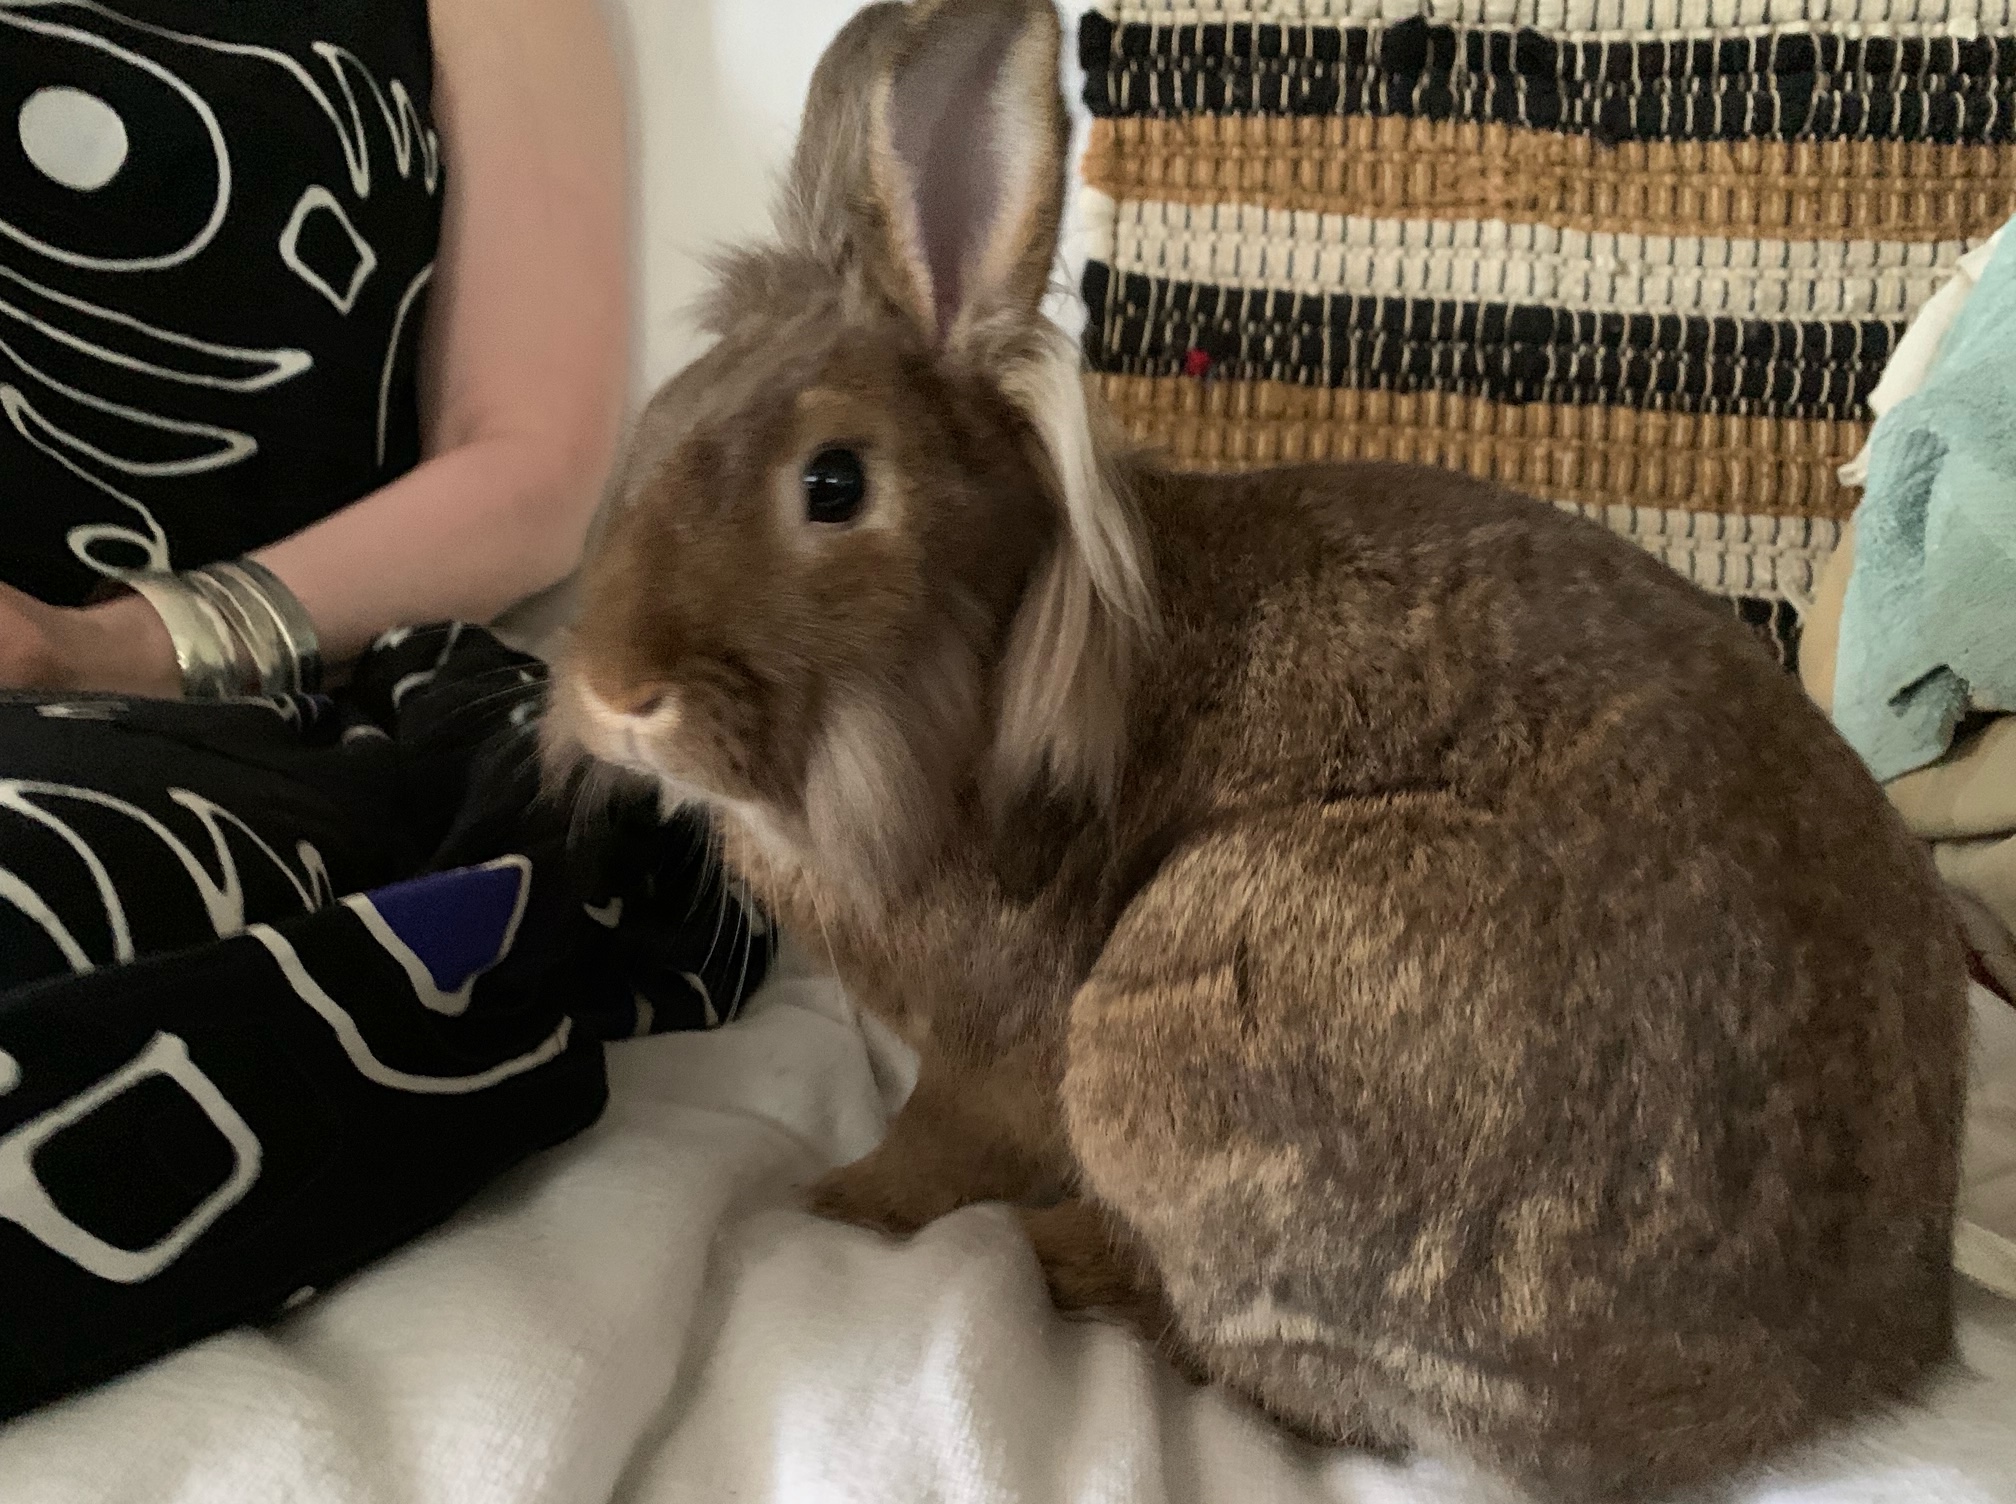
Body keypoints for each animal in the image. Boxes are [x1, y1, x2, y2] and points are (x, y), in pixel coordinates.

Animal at [543, 0, 1970, 1496]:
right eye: (659, 419)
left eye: (834, 483)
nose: (611, 691)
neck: (968, 670)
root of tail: (1825, 1386)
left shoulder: (994, 1054)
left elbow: (940, 1142)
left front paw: (839, 1199)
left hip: (1184, 1025)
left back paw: (1068, 1259)